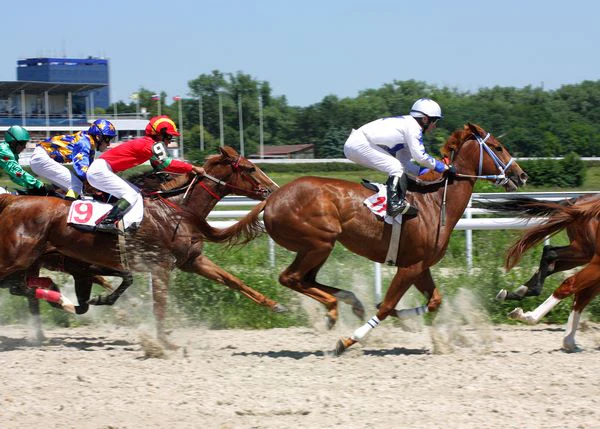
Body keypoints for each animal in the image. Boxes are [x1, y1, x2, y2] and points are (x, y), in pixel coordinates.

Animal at [0, 147, 282, 348]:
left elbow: (233, 280)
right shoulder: (159, 266)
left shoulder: (191, 260)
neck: (175, 210)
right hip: (18, 259)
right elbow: (159, 305)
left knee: (26, 289)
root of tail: (11, 201)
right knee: (18, 286)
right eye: (250, 168)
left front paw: (275, 304)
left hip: (33, 261)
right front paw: (164, 343)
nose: (274, 190)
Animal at [186, 123, 524, 354]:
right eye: (498, 147)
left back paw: (347, 302)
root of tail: (272, 198)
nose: (521, 175)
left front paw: (399, 315)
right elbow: (387, 307)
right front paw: (349, 339)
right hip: (319, 242)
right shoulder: (410, 266)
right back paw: (334, 308)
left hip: (318, 247)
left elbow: (433, 302)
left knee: (306, 279)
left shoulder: (420, 266)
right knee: (291, 278)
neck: (433, 202)